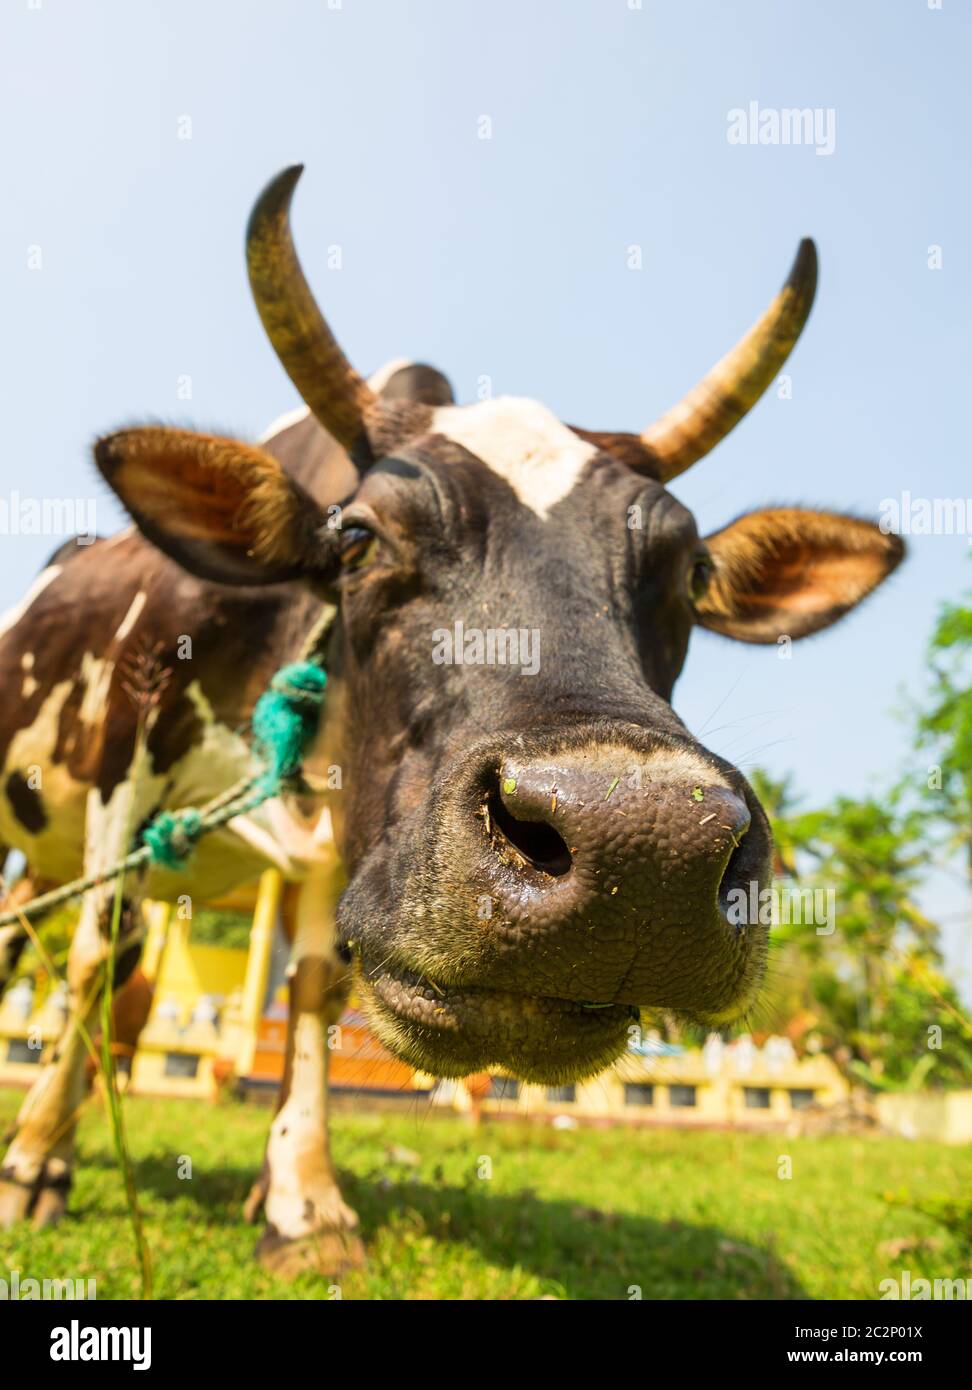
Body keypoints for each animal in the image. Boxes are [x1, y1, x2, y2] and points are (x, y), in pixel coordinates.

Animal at [0, 166, 903, 1276]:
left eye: (691, 573)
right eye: (356, 538)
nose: (644, 853)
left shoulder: (336, 847)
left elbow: (313, 990)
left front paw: (302, 1197)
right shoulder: (124, 769)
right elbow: (93, 961)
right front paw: (34, 1162)